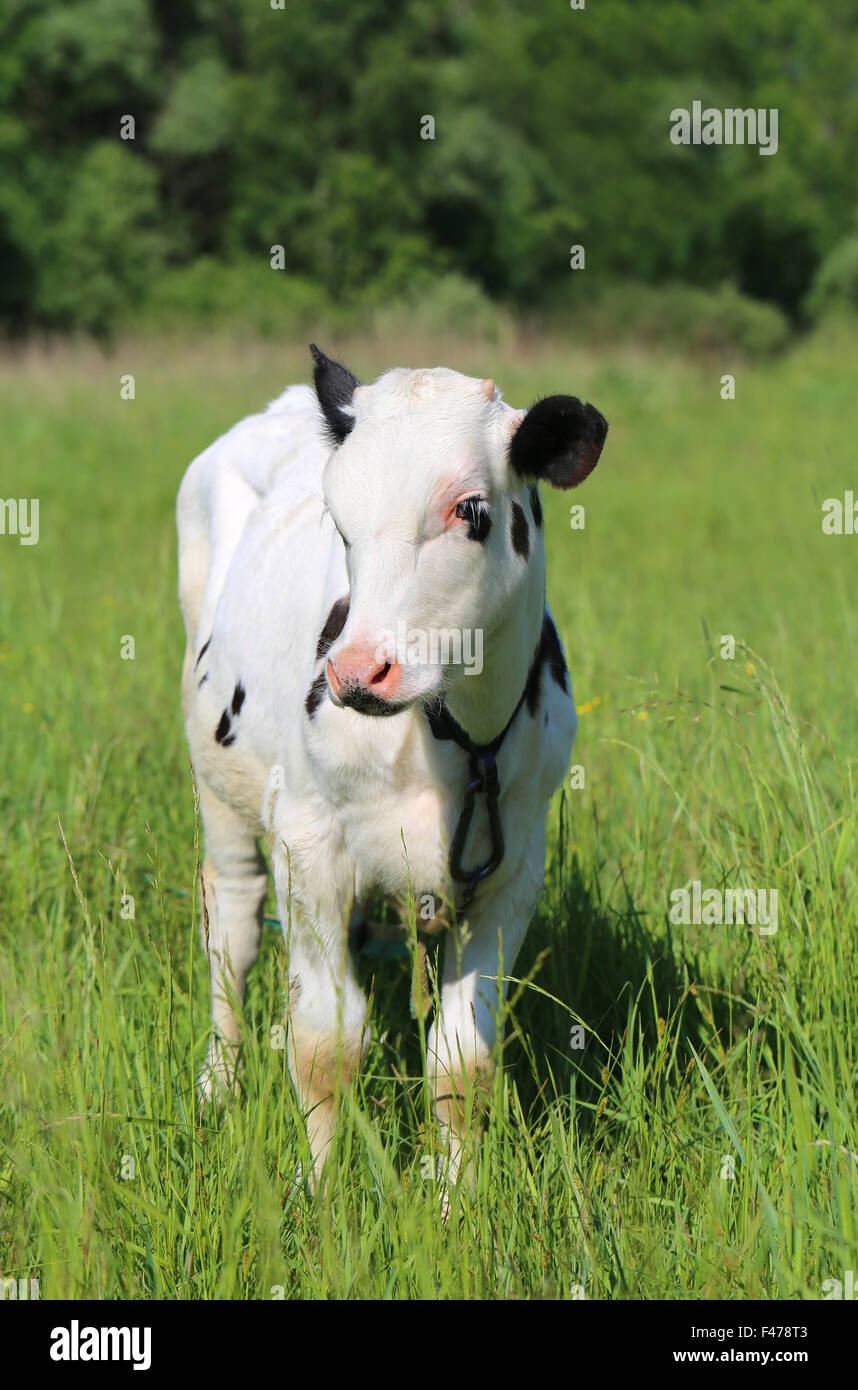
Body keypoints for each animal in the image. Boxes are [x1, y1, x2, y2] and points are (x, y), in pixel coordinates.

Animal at [176, 346, 607, 1191]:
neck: (453, 736)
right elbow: (325, 1042)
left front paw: (455, 1194)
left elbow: (460, 1059)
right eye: (337, 518)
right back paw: (220, 1078)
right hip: (219, 786)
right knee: (231, 927)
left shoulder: (514, 871)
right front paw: (320, 1191)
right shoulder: (308, 842)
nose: (355, 672)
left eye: (470, 509)